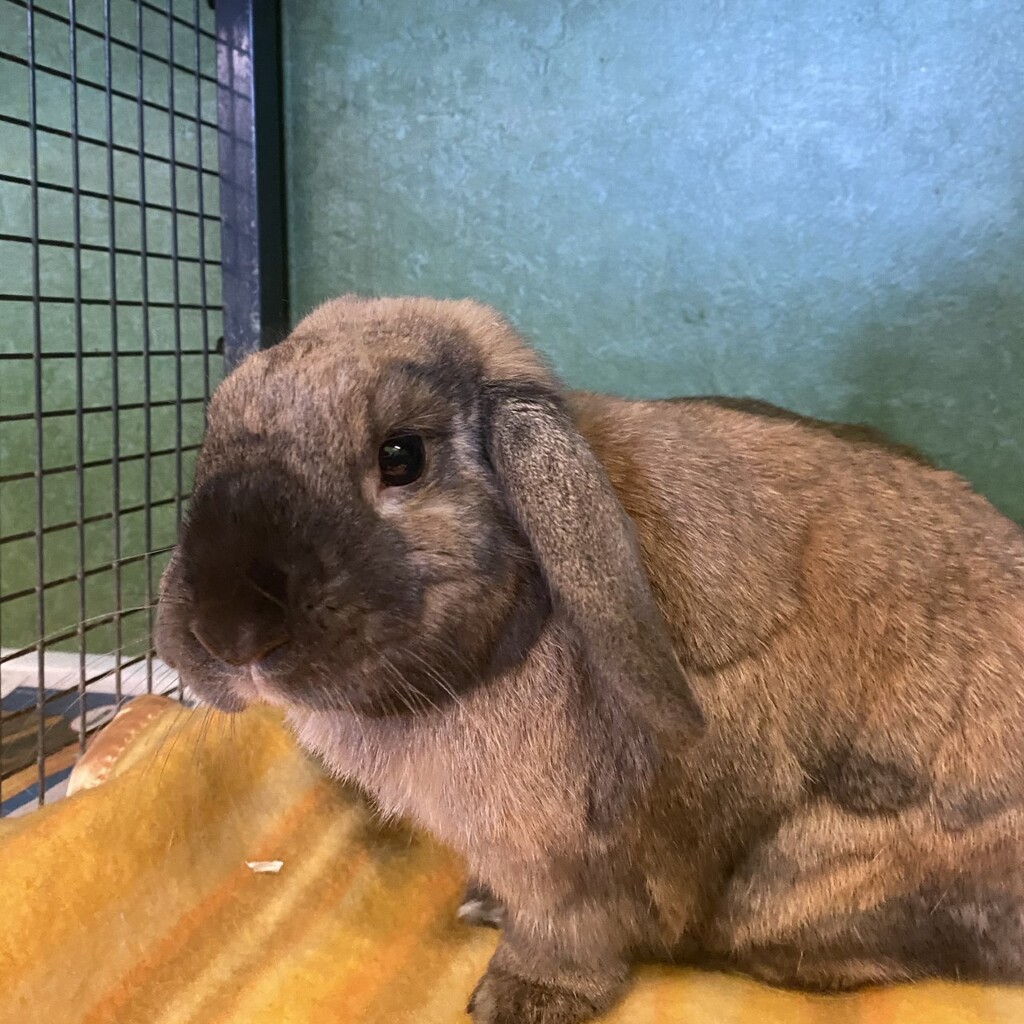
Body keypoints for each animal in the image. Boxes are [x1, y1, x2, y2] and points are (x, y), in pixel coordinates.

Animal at [155, 295, 1024, 1024]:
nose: (230, 636)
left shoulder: (566, 860)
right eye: (214, 430)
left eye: (402, 456)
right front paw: (483, 910)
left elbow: (562, 934)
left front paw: (518, 1001)